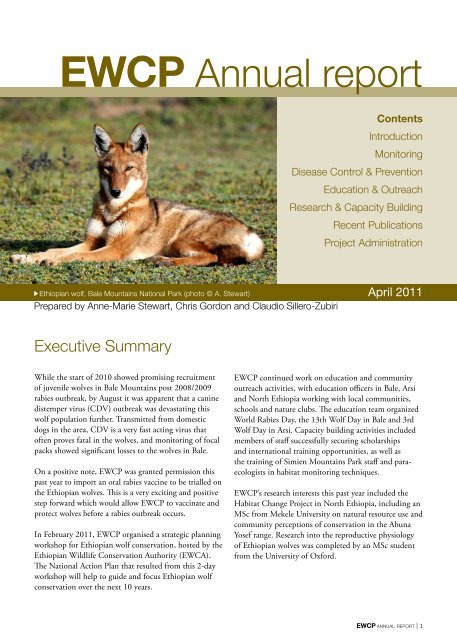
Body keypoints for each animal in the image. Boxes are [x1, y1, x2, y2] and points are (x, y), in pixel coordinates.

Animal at [11, 123, 264, 267]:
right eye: (109, 169)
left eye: (128, 169)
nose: (116, 192)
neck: (112, 211)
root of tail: (254, 235)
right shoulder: (90, 242)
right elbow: (55, 250)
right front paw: (27, 257)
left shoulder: (113, 249)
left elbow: (69, 257)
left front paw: (50, 261)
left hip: (181, 240)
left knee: (211, 258)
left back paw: (163, 262)